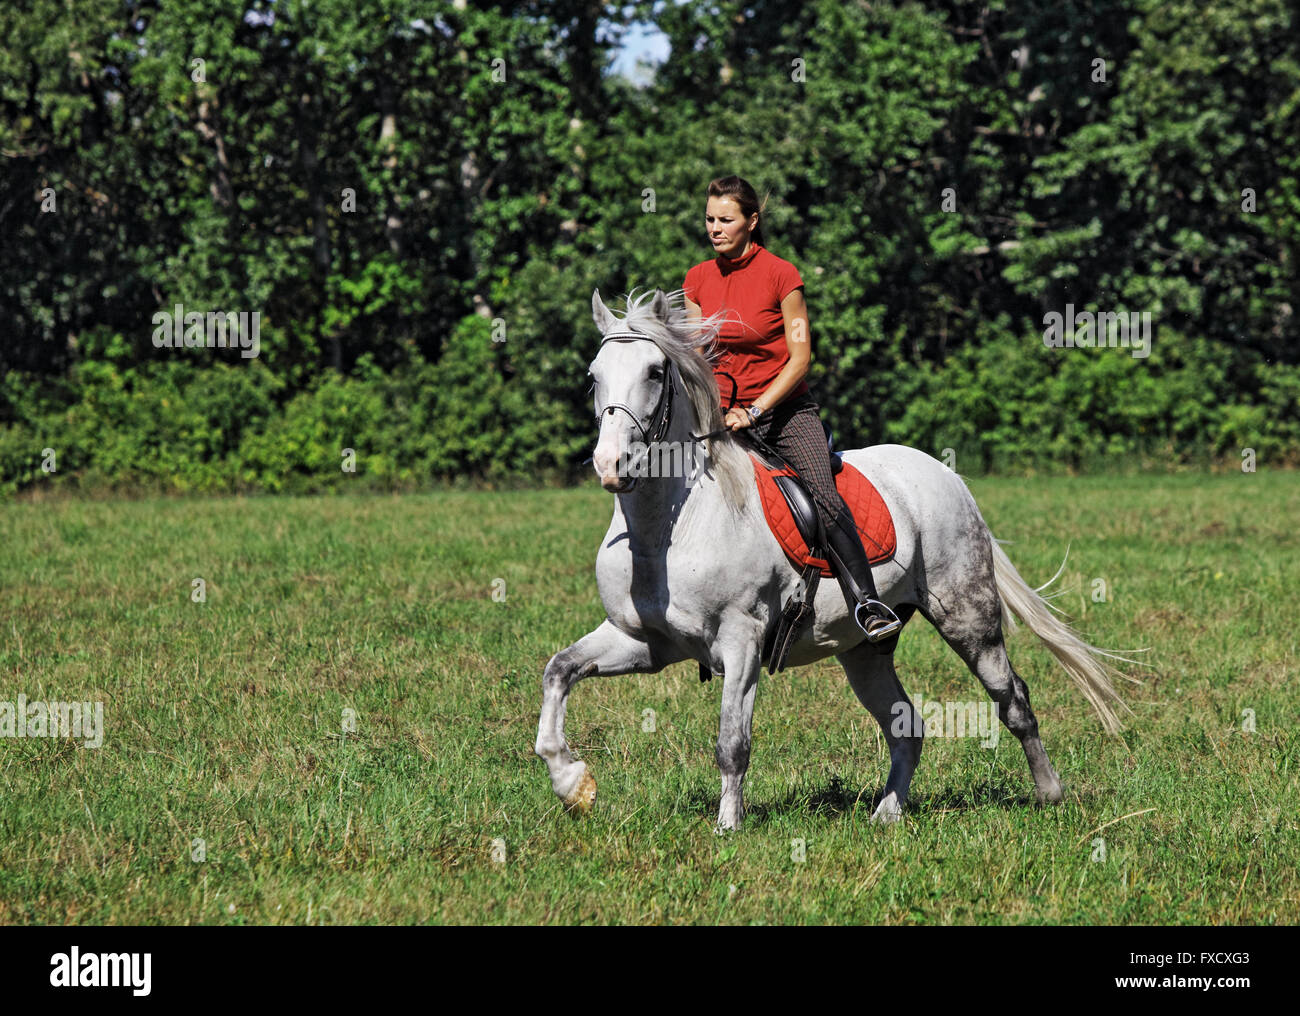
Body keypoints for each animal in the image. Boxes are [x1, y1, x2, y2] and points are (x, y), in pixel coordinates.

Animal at [534, 288, 1138, 830]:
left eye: (656, 372)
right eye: (593, 376)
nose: (612, 464)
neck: (670, 528)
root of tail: (945, 474)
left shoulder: (740, 641)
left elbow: (732, 741)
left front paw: (728, 829)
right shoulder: (643, 640)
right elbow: (559, 670)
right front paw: (573, 785)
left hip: (968, 618)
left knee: (1012, 700)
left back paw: (1050, 794)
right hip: (863, 651)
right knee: (906, 725)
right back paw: (886, 815)